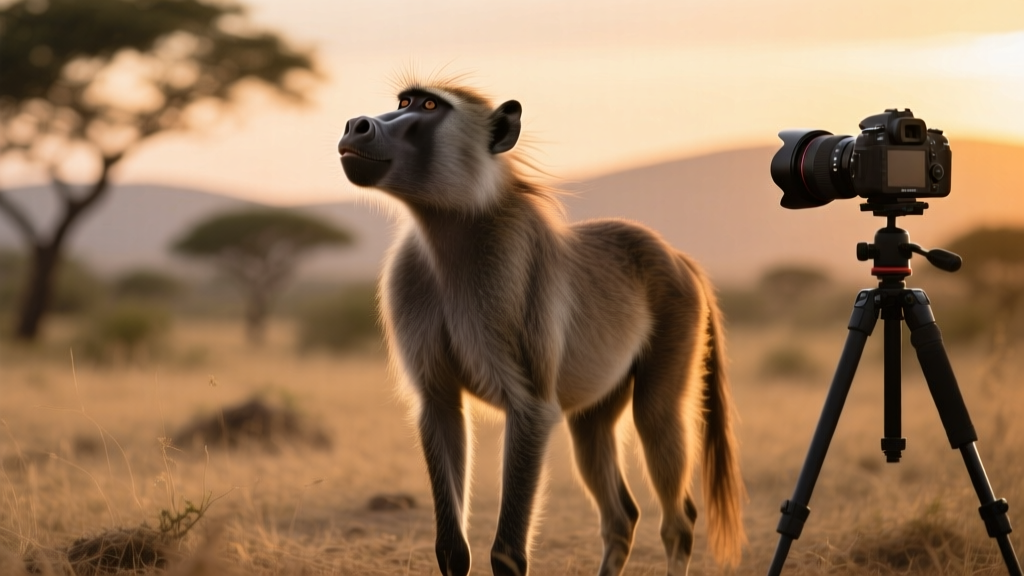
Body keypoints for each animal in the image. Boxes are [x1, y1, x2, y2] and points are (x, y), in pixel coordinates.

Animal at [337, 78, 746, 576]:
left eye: (430, 105)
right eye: (404, 102)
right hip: (599, 401)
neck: (450, 236)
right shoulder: (422, 333)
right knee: (617, 502)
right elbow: (451, 539)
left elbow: (508, 546)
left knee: (670, 479)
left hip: (674, 337)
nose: (356, 125)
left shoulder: (518, 339)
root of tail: (678, 257)